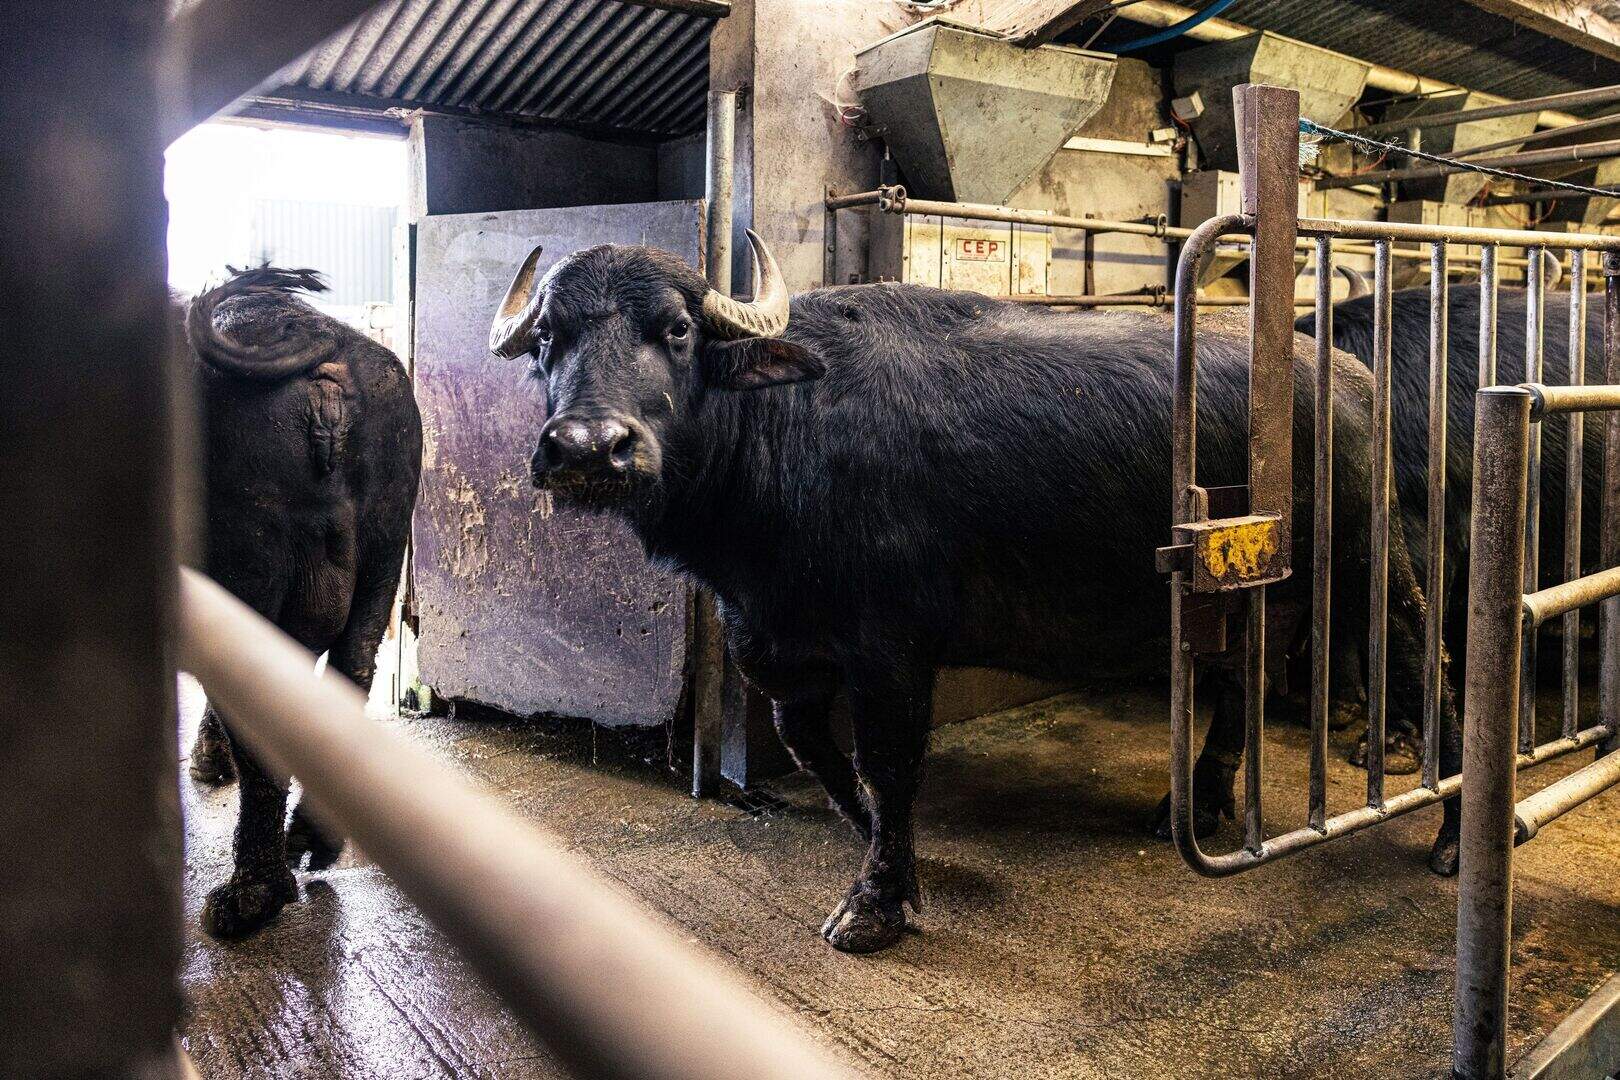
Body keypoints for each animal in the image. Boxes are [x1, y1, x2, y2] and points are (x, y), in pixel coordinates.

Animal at [486, 233, 1459, 953]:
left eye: (678, 330)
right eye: (548, 340)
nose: (587, 447)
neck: (784, 432)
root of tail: (1350, 377)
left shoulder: (891, 652)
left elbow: (888, 762)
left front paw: (875, 904)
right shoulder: (783, 642)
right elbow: (815, 751)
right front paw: (883, 849)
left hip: (1373, 563)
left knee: (1426, 662)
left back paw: (1451, 838)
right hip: (1247, 586)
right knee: (1241, 679)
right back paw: (1202, 802)